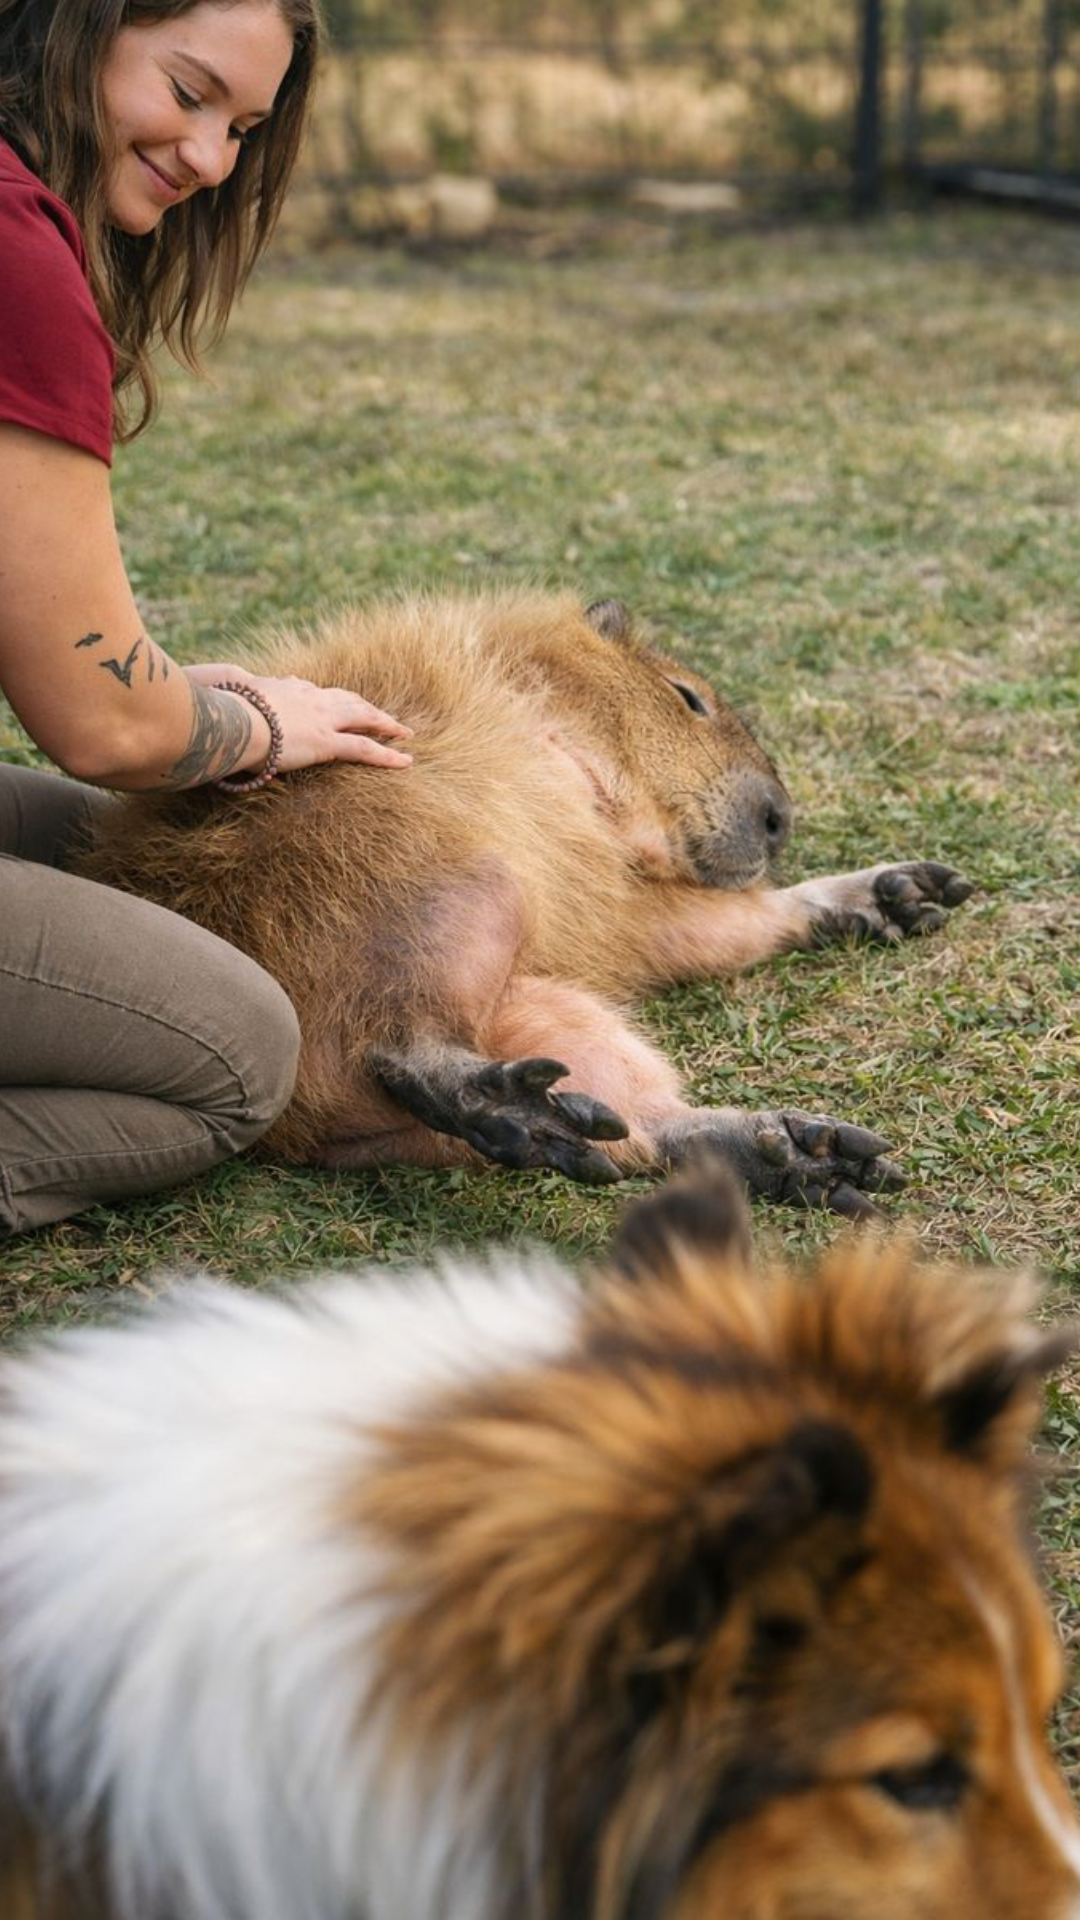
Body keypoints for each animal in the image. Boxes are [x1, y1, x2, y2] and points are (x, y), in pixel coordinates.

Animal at [81, 590, 972, 1214]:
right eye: (687, 696)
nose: (780, 819)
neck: (553, 722)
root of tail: (292, 1121)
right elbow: (686, 927)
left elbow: (700, 932)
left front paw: (899, 892)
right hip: (460, 884)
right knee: (399, 1044)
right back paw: (504, 1105)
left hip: (534, 1010)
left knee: (633, 1124)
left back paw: (798, 1153)